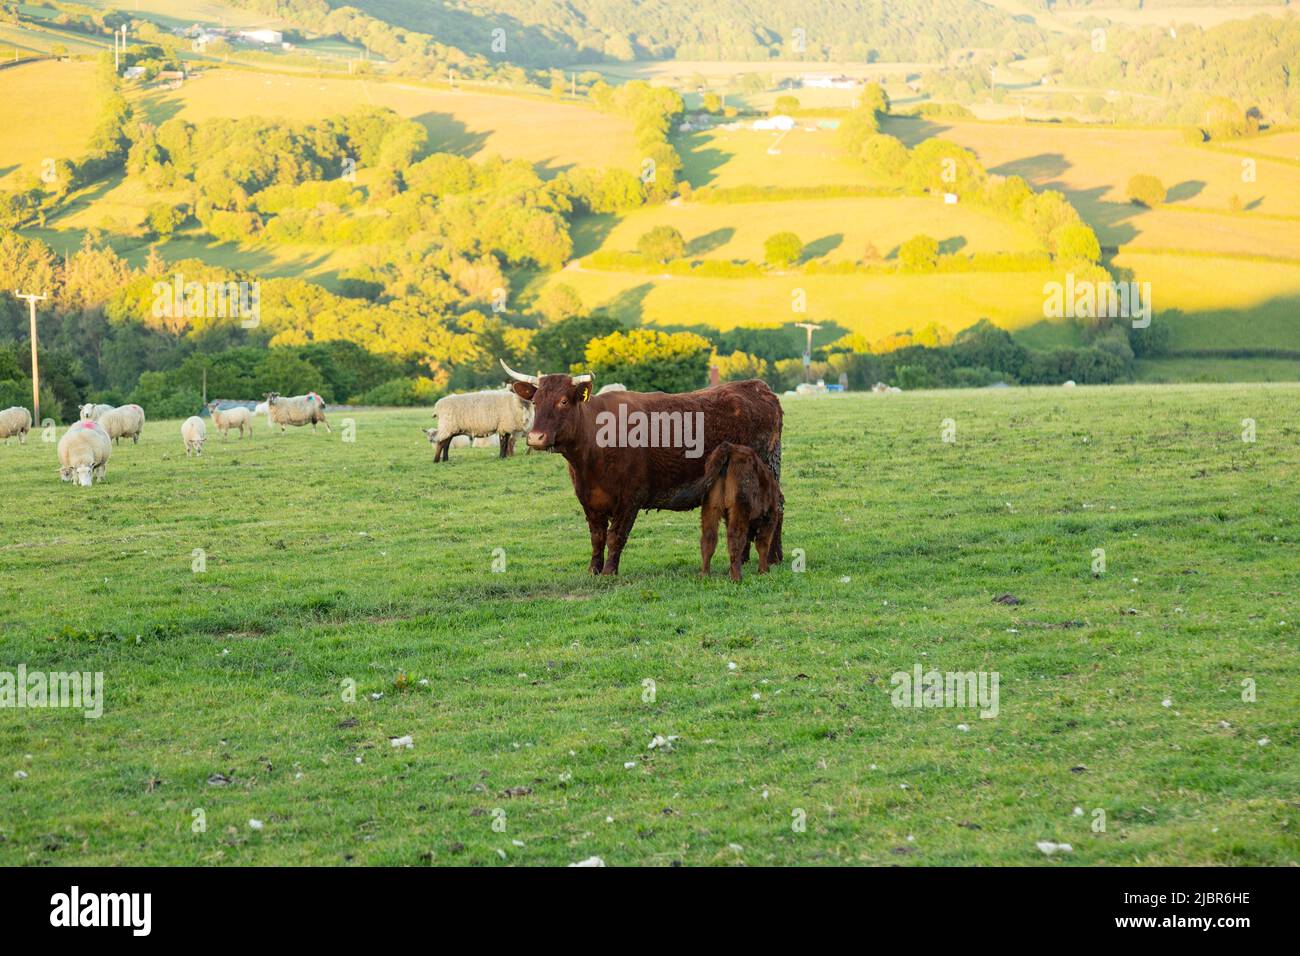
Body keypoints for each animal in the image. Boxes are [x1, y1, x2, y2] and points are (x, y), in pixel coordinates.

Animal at [500, 360, 783, 576]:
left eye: (563, 401)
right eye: (536, 401)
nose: (536, 437)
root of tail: (758, 387)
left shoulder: (630, 499)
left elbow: (615, 537)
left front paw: (609, 572)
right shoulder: (589, 500)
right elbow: (597, 538)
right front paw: (594, 570)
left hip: (766, 470)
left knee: (776, 507)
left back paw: (773, 558)